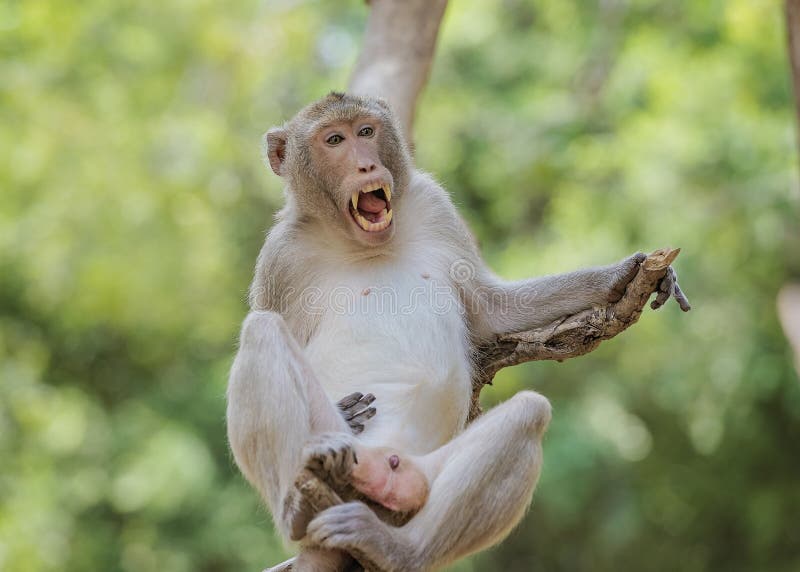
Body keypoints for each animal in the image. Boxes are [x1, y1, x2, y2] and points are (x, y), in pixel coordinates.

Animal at [226, 92, 690, 572]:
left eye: (366, 132)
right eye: (334, 140)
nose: (366, 166)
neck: (363, 244)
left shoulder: (435, 206)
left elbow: (492, 310)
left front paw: (622, 275)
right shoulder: (280, 257)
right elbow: (271, 323)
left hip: (415, 477)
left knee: (528, 415)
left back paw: (398, 550)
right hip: (335, 453)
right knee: (262, 332)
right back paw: (295, 508)